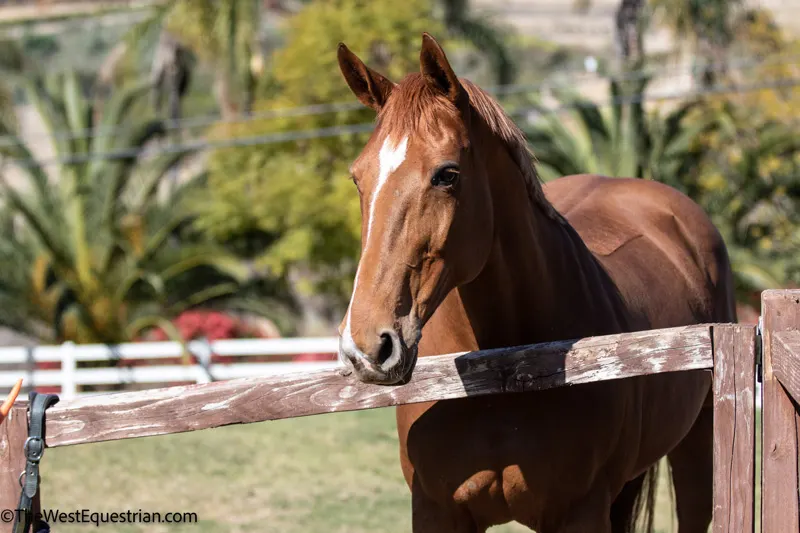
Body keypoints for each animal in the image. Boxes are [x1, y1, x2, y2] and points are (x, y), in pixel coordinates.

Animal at [335, 33, 736, 533]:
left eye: (447, 174)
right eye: (358, 177)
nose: (367, 347)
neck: (499, 372)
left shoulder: (579, 511)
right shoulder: (435, 510)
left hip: (697, 450)